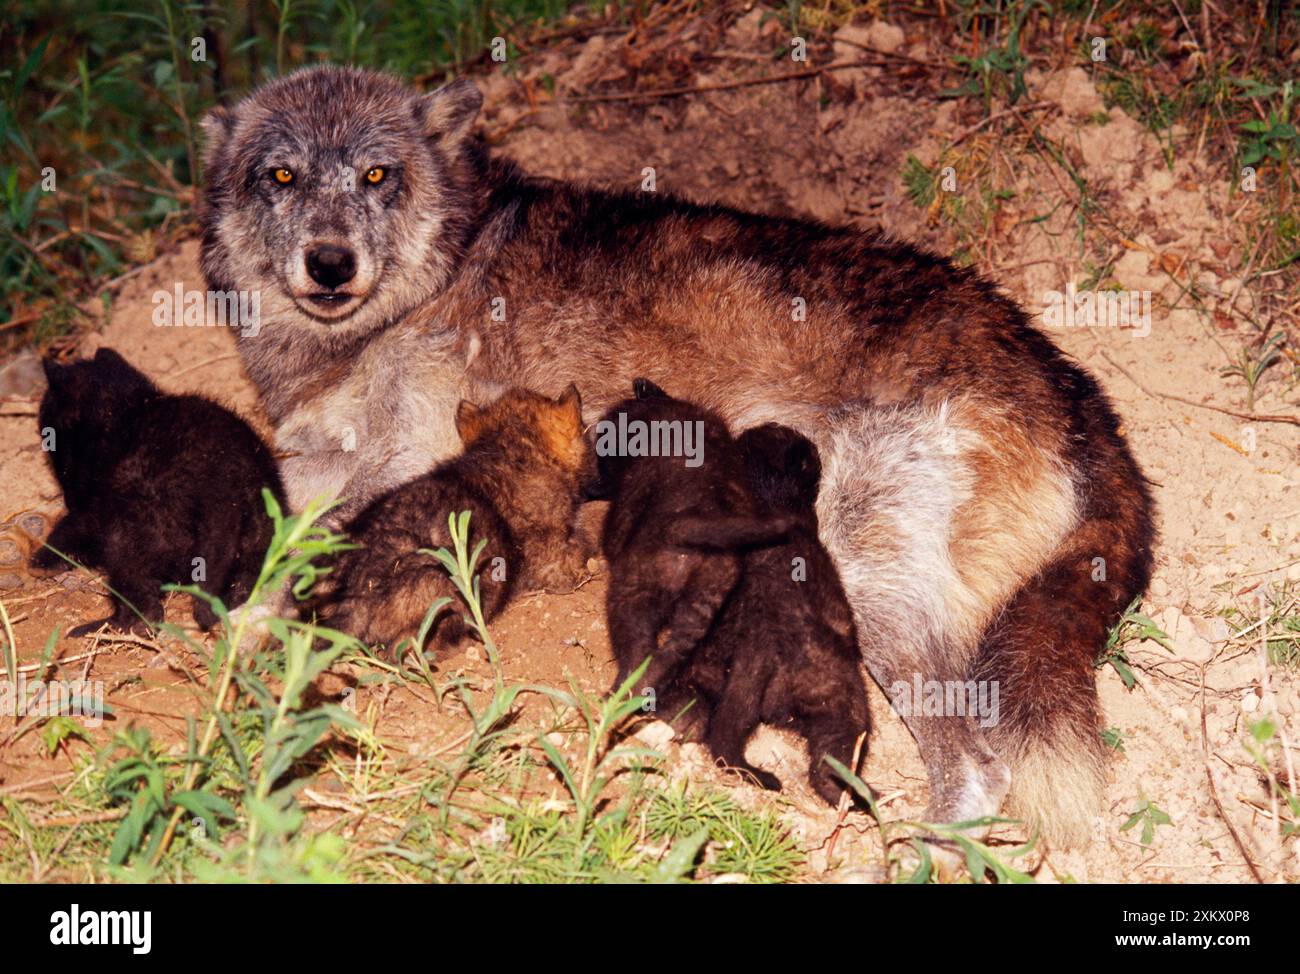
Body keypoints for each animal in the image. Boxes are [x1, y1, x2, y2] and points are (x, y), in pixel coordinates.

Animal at [31, 348, 285, 634]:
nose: (67, 498)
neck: (123, 409)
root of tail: (224, 486)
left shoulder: (91, 512)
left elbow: (67, 530)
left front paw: (41, 561)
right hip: (260, 539)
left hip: (130, 539)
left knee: (146, 607)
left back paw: (104, 627)